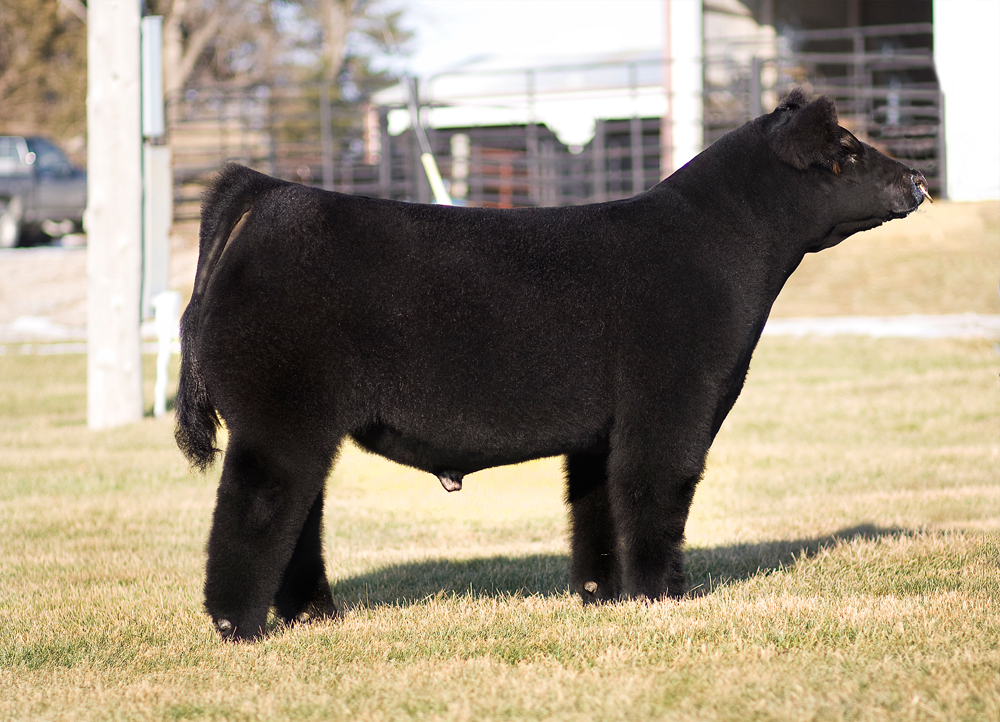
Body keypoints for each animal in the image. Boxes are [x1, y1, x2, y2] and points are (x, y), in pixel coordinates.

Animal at [174, 89, 930, 640]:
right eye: (846, 151)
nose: (919, 178)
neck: (719, 248)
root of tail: (270, 192)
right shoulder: (672, 403)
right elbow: (658, 492)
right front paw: (662, 598)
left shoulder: (602, 431)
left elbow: (598, 509)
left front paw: (604, 597)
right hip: (278, 420)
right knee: (255, 511)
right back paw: (239, 627)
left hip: (304, 427)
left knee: (300, 517)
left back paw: (316, 618)